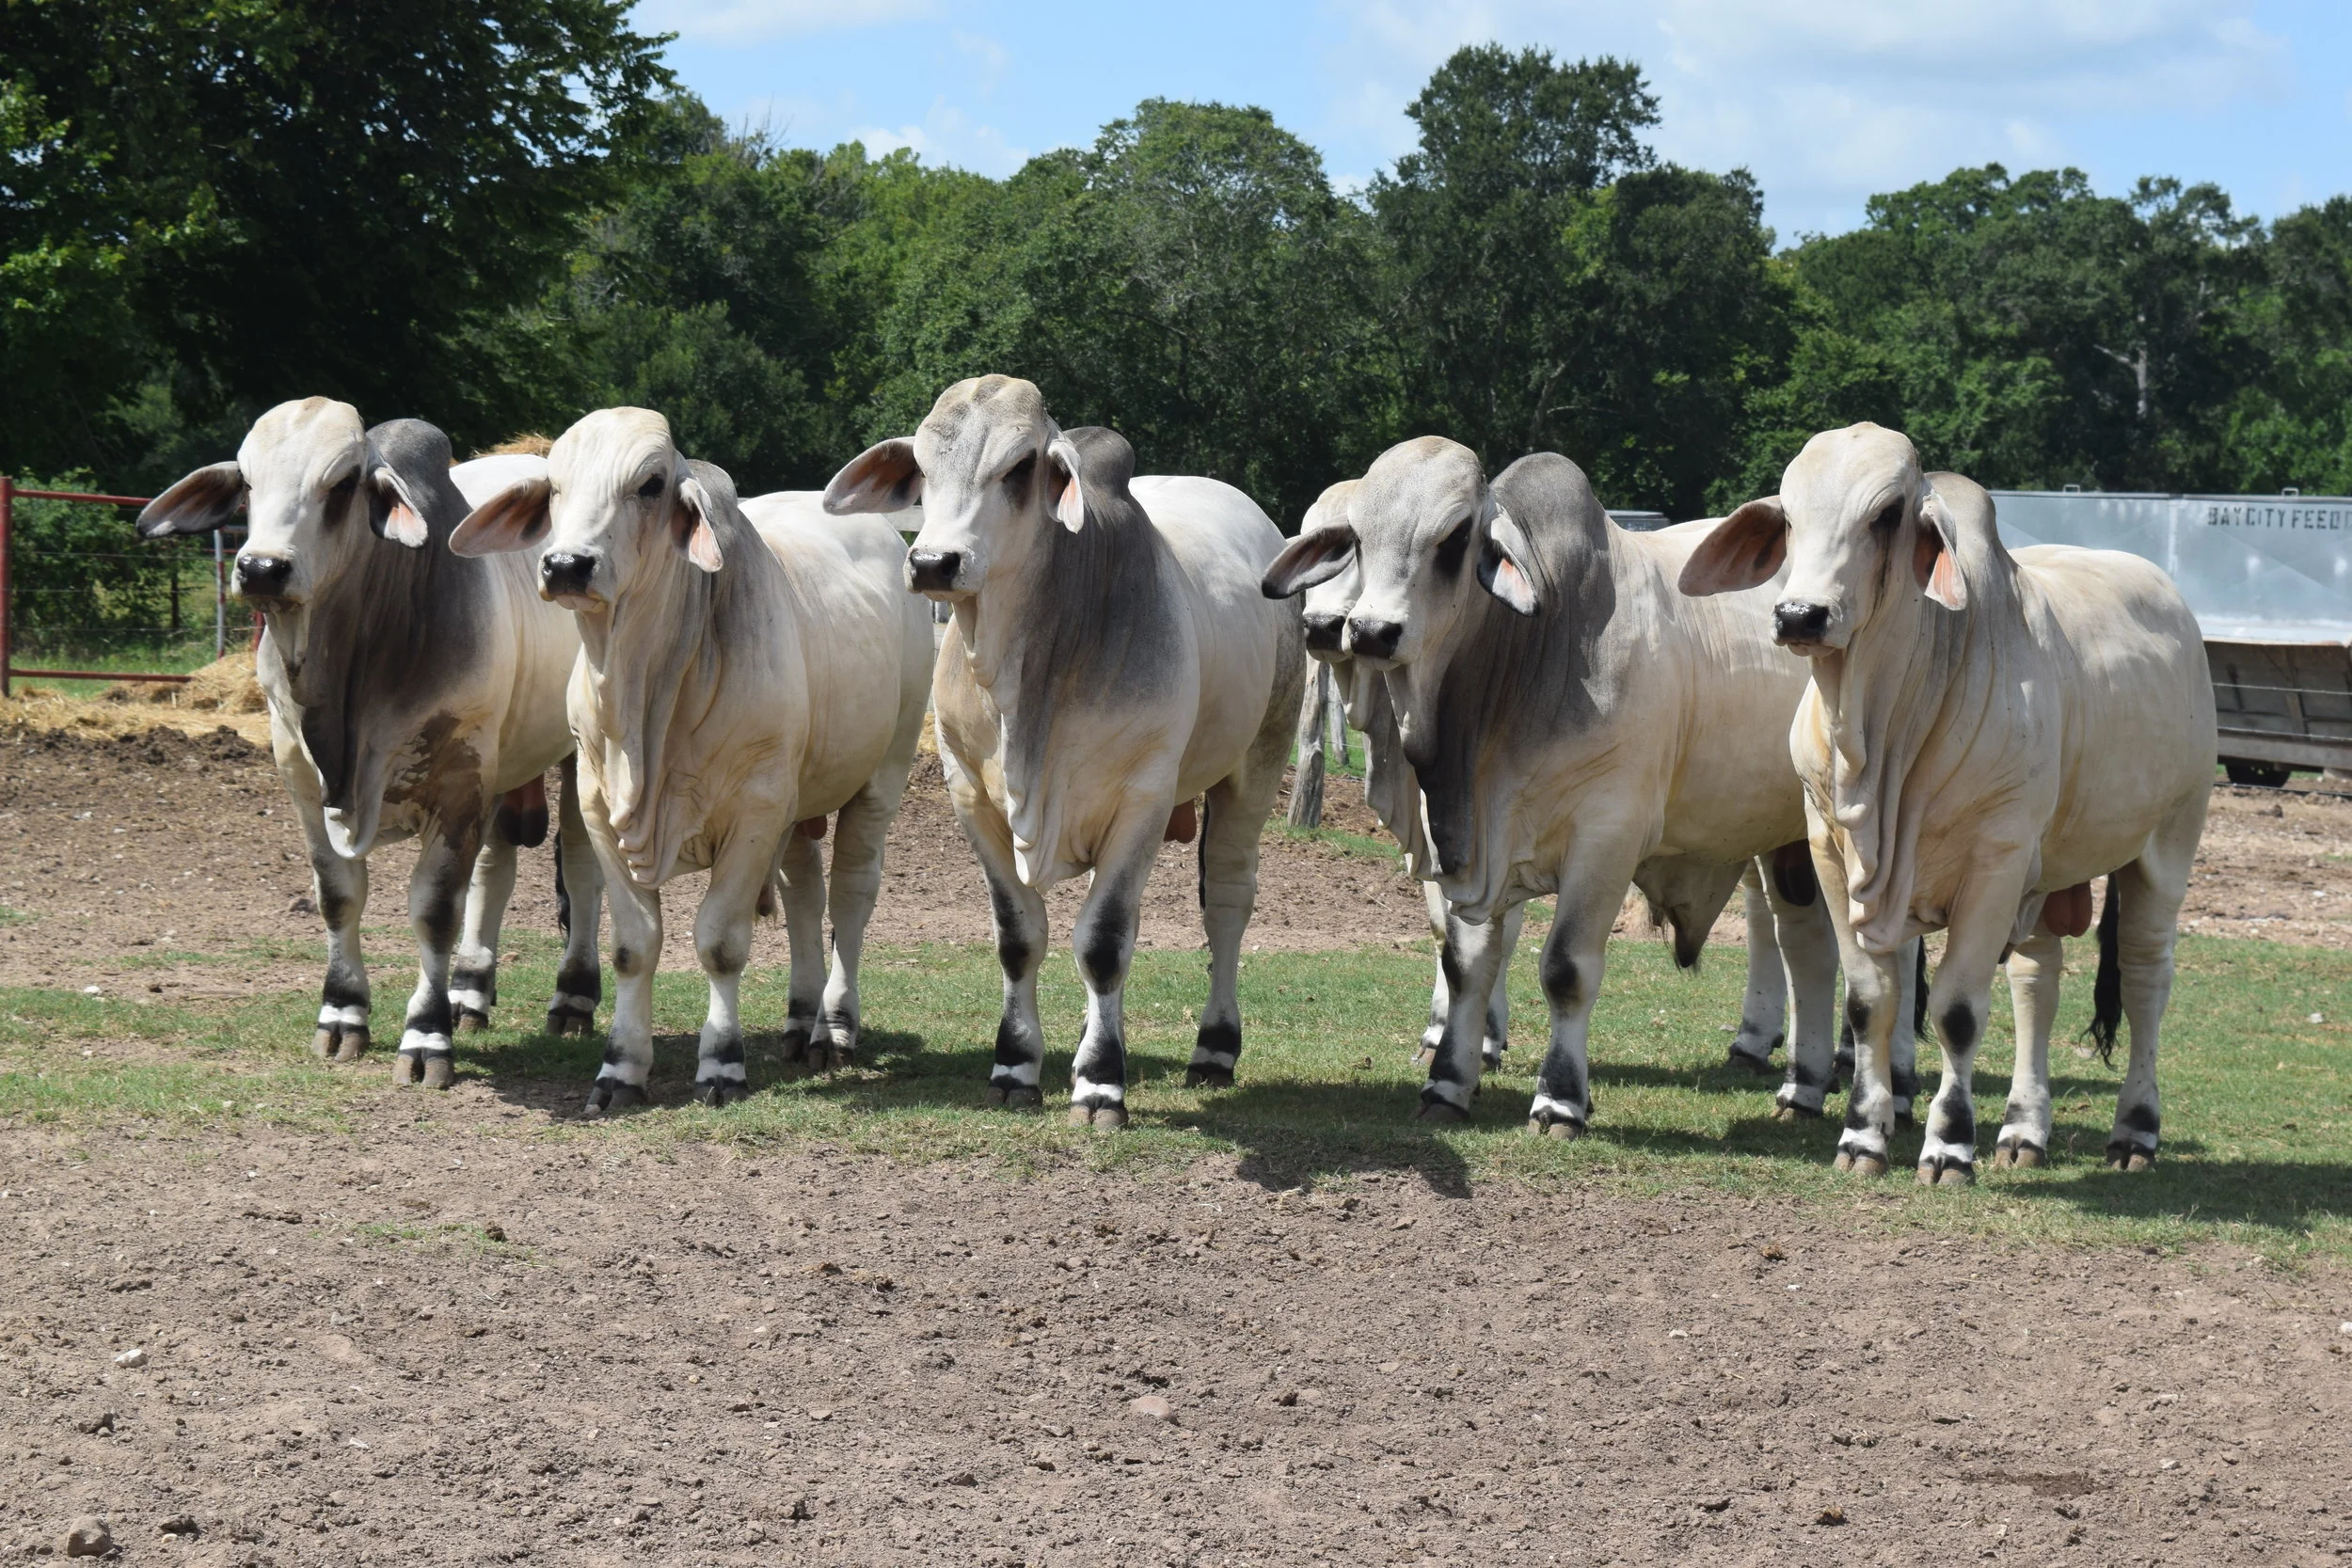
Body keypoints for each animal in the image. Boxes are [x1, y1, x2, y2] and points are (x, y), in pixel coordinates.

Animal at [136, 399, 604, 1088]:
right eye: (245, 481)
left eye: (342, 484)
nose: (260, 569)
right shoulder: (302, 779)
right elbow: (339, 896)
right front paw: (342, 1013)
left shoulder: (459, 777)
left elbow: (434, 907)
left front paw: (426, 1036)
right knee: (495, 867)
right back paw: (471, 989)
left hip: (576, 752)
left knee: (581, 864)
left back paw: (572, 997)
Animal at [450, 407, 931, 1113]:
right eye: (555, 485)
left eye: (650, 484)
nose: (567, 564)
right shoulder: (601, 808)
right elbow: (632, 946)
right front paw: (620, 1069)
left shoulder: (754, 810)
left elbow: (720, 944)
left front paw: (722, 1063)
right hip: (798, 800)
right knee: (805, 895)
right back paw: (798, 1020)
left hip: (880, 777)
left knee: (850, 898)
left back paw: (835, 1029)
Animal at [824, 375, 1304, 1127]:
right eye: (923, 467)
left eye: (1020, 466)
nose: (933, 561)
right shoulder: (970, 795)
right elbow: (1019, 937)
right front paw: (1016, 1066)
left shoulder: (1144, 795)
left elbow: (1103, 942)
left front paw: (1102, 1082)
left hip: (1257, 759)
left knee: (1226, 902)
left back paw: (1214, 1048)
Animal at [1262, 437, 1845, 1133]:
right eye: (1353, 537)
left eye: (1455, 536)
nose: (1367, 631)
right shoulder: (1467, 845)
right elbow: (1466, 962)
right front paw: (1448, 1080)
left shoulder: (1607, 835)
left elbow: (1566, 969)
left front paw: (1561, 1098)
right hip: (1782, 840)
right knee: (1807, 945)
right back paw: (1803, 1086)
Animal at [1679, 422, 2213, 1179]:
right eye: (1787, 517)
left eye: (1886, 514)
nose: (1799, 615)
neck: (1879, 737)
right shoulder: (1832, 853)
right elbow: (1869, 1002)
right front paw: (1862, 1135)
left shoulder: (1995, 859)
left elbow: (1958, 1011)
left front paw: (1949, 1145)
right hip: (2045, 874)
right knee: (2037, 981)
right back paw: (2023, 1131)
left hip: (2166, 843)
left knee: (2145, 979)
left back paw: (2135, 1132)